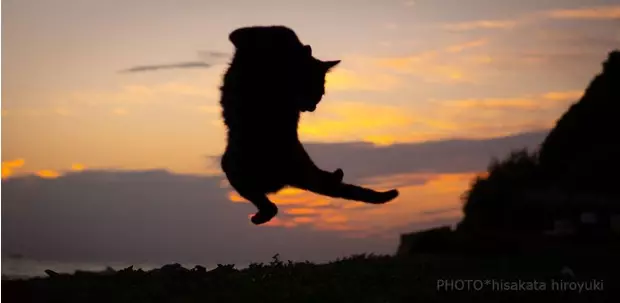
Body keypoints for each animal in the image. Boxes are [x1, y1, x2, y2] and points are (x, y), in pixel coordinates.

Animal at [220, 25, 400, 226]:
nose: (312, 107)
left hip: (232, 166)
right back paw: (334, 176)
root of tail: (294, 172)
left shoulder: (248, 35)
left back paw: (260, 216)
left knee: (270, 205)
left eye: (319, 95)